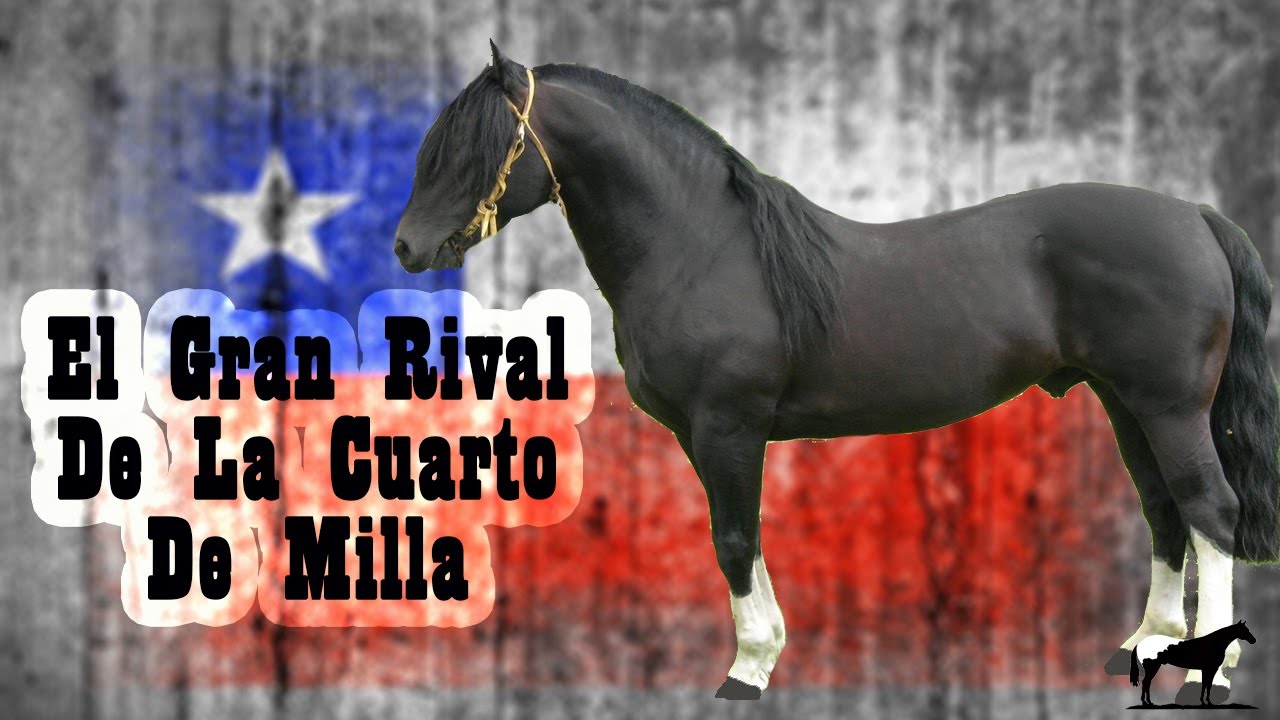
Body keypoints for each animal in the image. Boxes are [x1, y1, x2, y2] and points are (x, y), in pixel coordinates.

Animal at [393, 43, 1280, 701]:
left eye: (475, 148)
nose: (404, 248)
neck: (704, 248)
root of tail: (1194, 215)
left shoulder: (728, 426)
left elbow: (733, 537)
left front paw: (747, 670)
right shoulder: (702, 436)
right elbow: (739, 539)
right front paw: (767, 651)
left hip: (1169, 407)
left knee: (1209, 508)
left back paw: (1210, 670)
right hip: (1126, 403)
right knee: (1164, 511)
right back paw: (1146, 647)